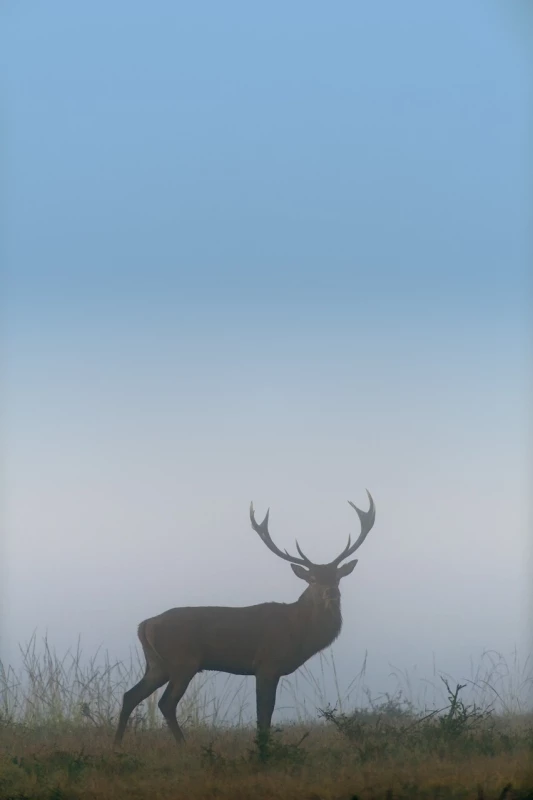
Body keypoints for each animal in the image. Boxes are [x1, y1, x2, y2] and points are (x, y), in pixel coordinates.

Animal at [113, 490, 376, 747]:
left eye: (337, 577)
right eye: (312, 579)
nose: (331, 592)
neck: (299, 631)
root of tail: (144, 625)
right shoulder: (267, 663)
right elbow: (264, 715)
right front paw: (262, 750)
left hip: (157, 664)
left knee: (130, 696)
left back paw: (117, 744)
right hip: (182, 661)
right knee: (166, 703)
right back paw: (184, 747)